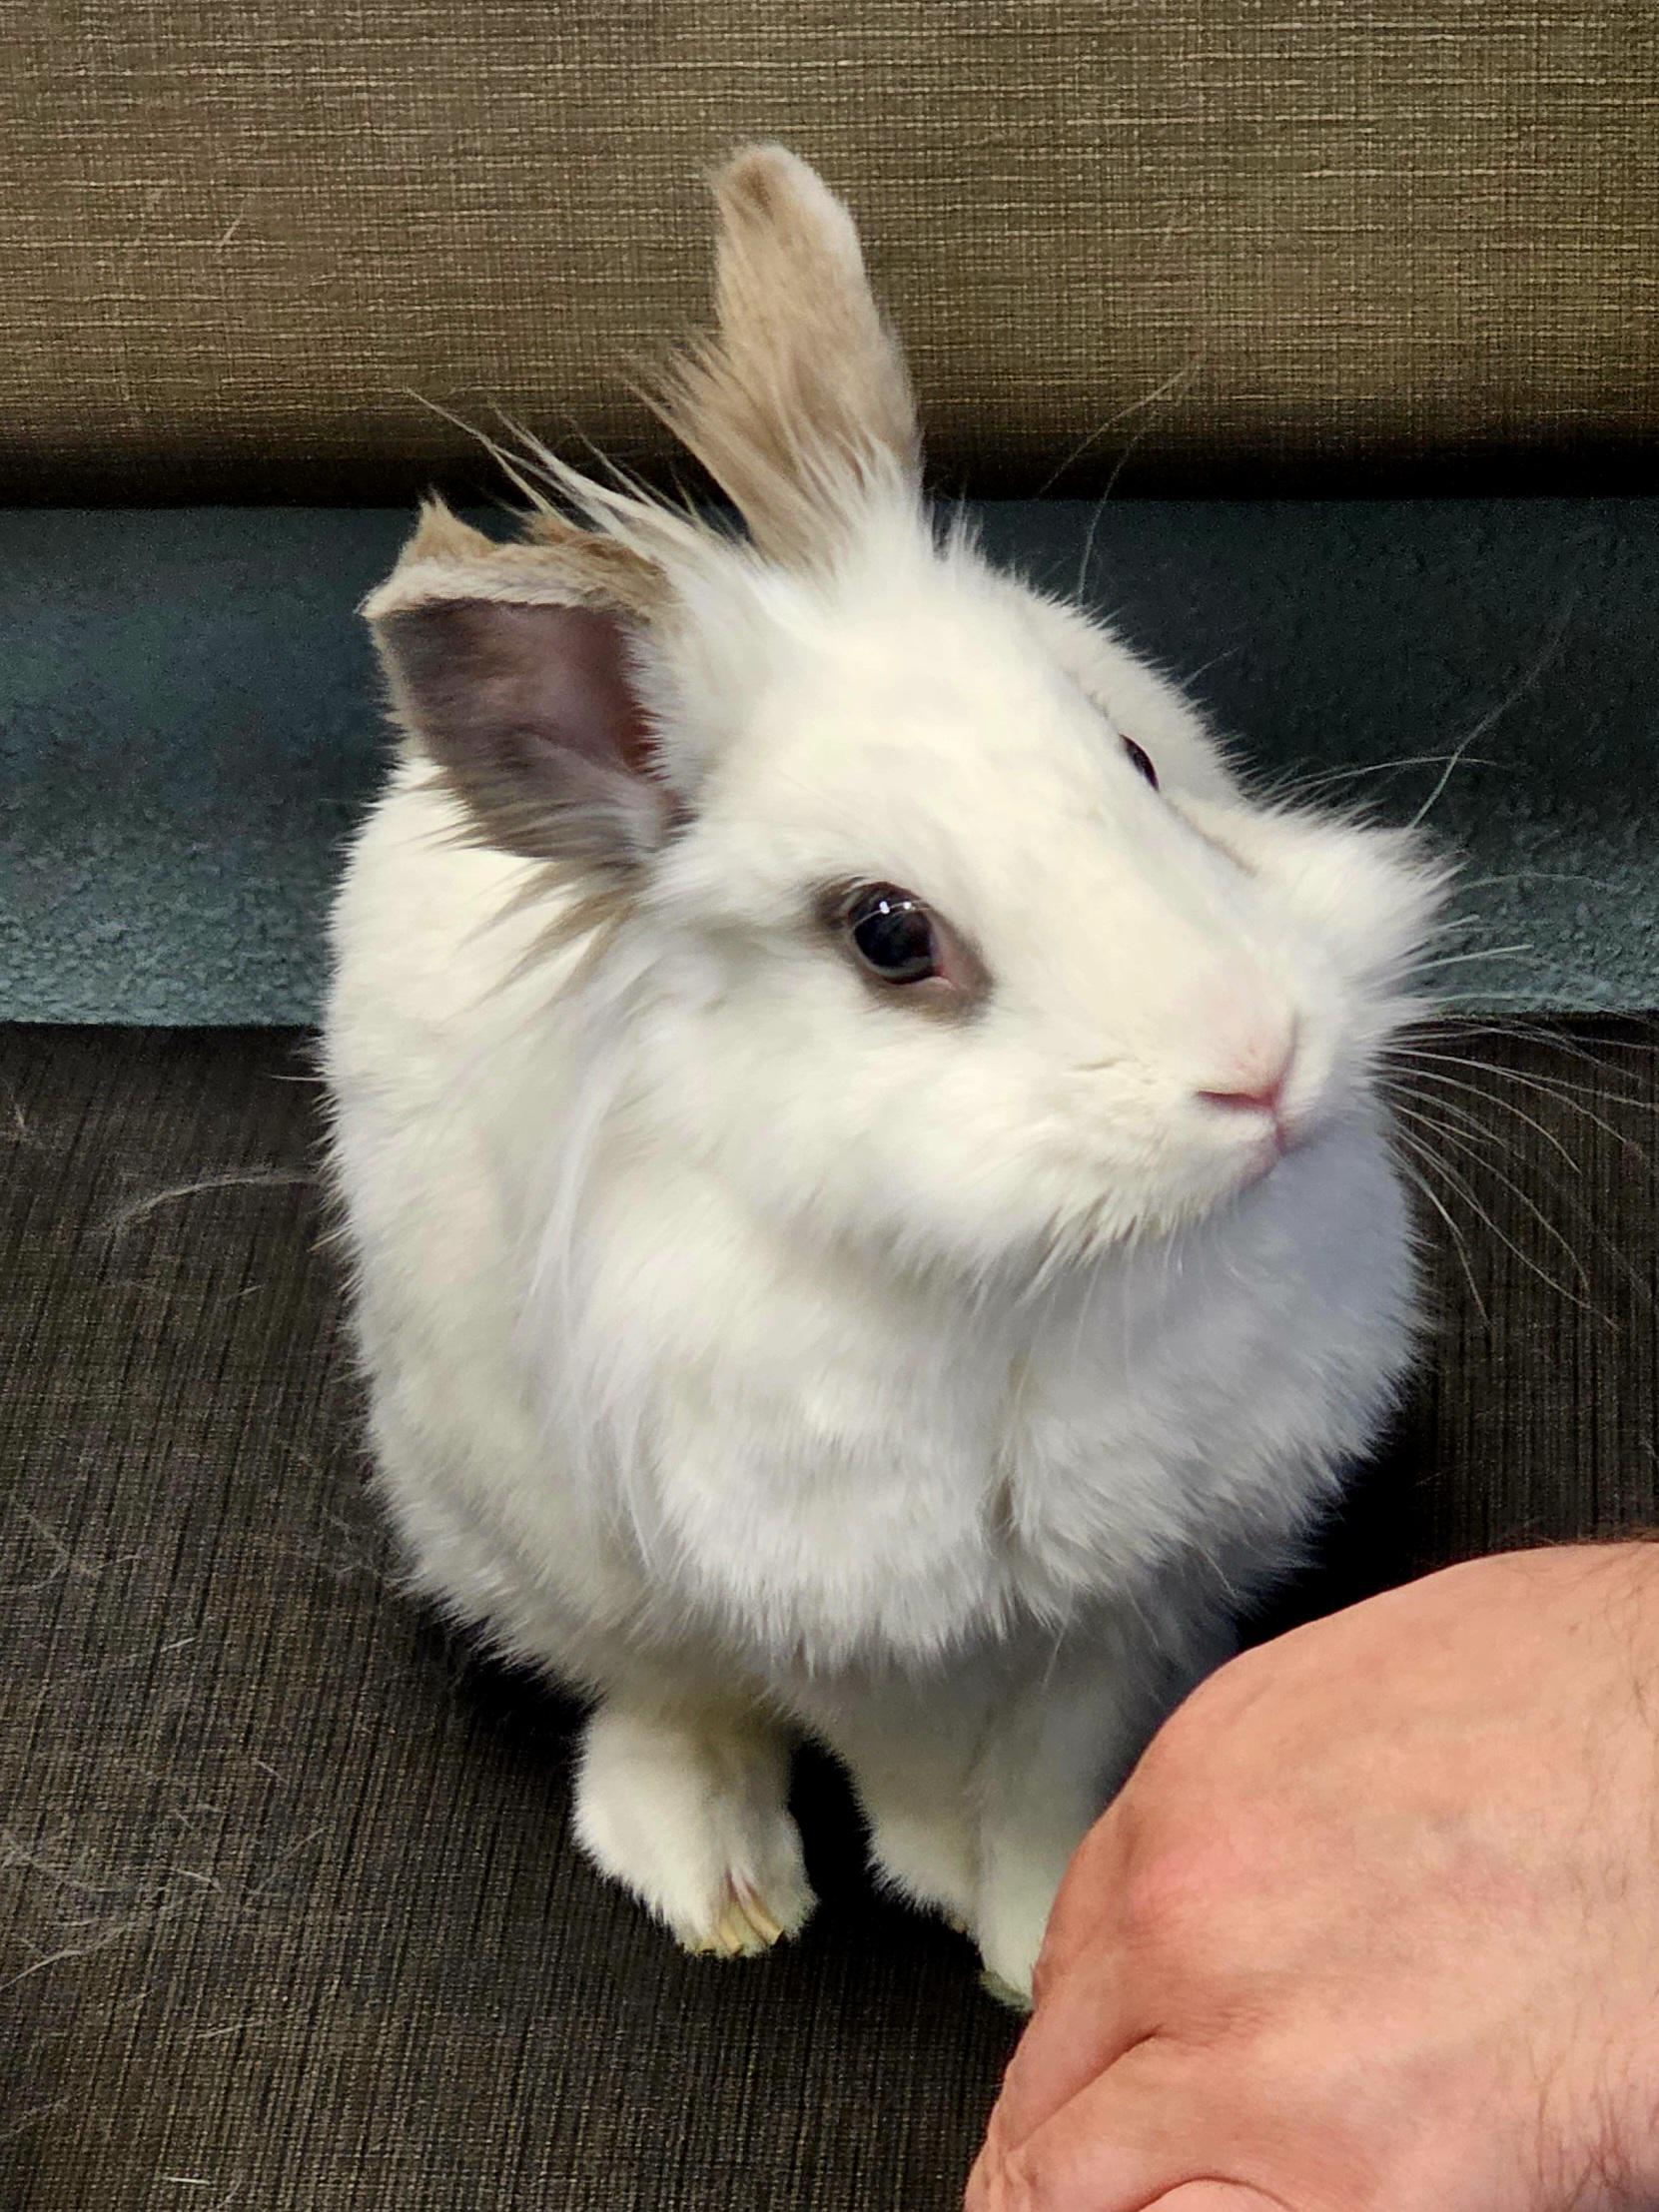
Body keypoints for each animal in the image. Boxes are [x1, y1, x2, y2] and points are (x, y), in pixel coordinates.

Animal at [322, 144, 1446, 2004]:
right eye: (887, 934)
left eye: (1136, 758)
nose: (1261, 1068)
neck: (1043, 1277)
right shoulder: (827, 1590)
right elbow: (894, 1760)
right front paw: (946, 1887)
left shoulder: (1135, 1584)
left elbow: (1059, 1759)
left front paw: (1041, 1930)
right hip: (514, 1527)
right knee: (658, 1698)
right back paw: (710, 1867)